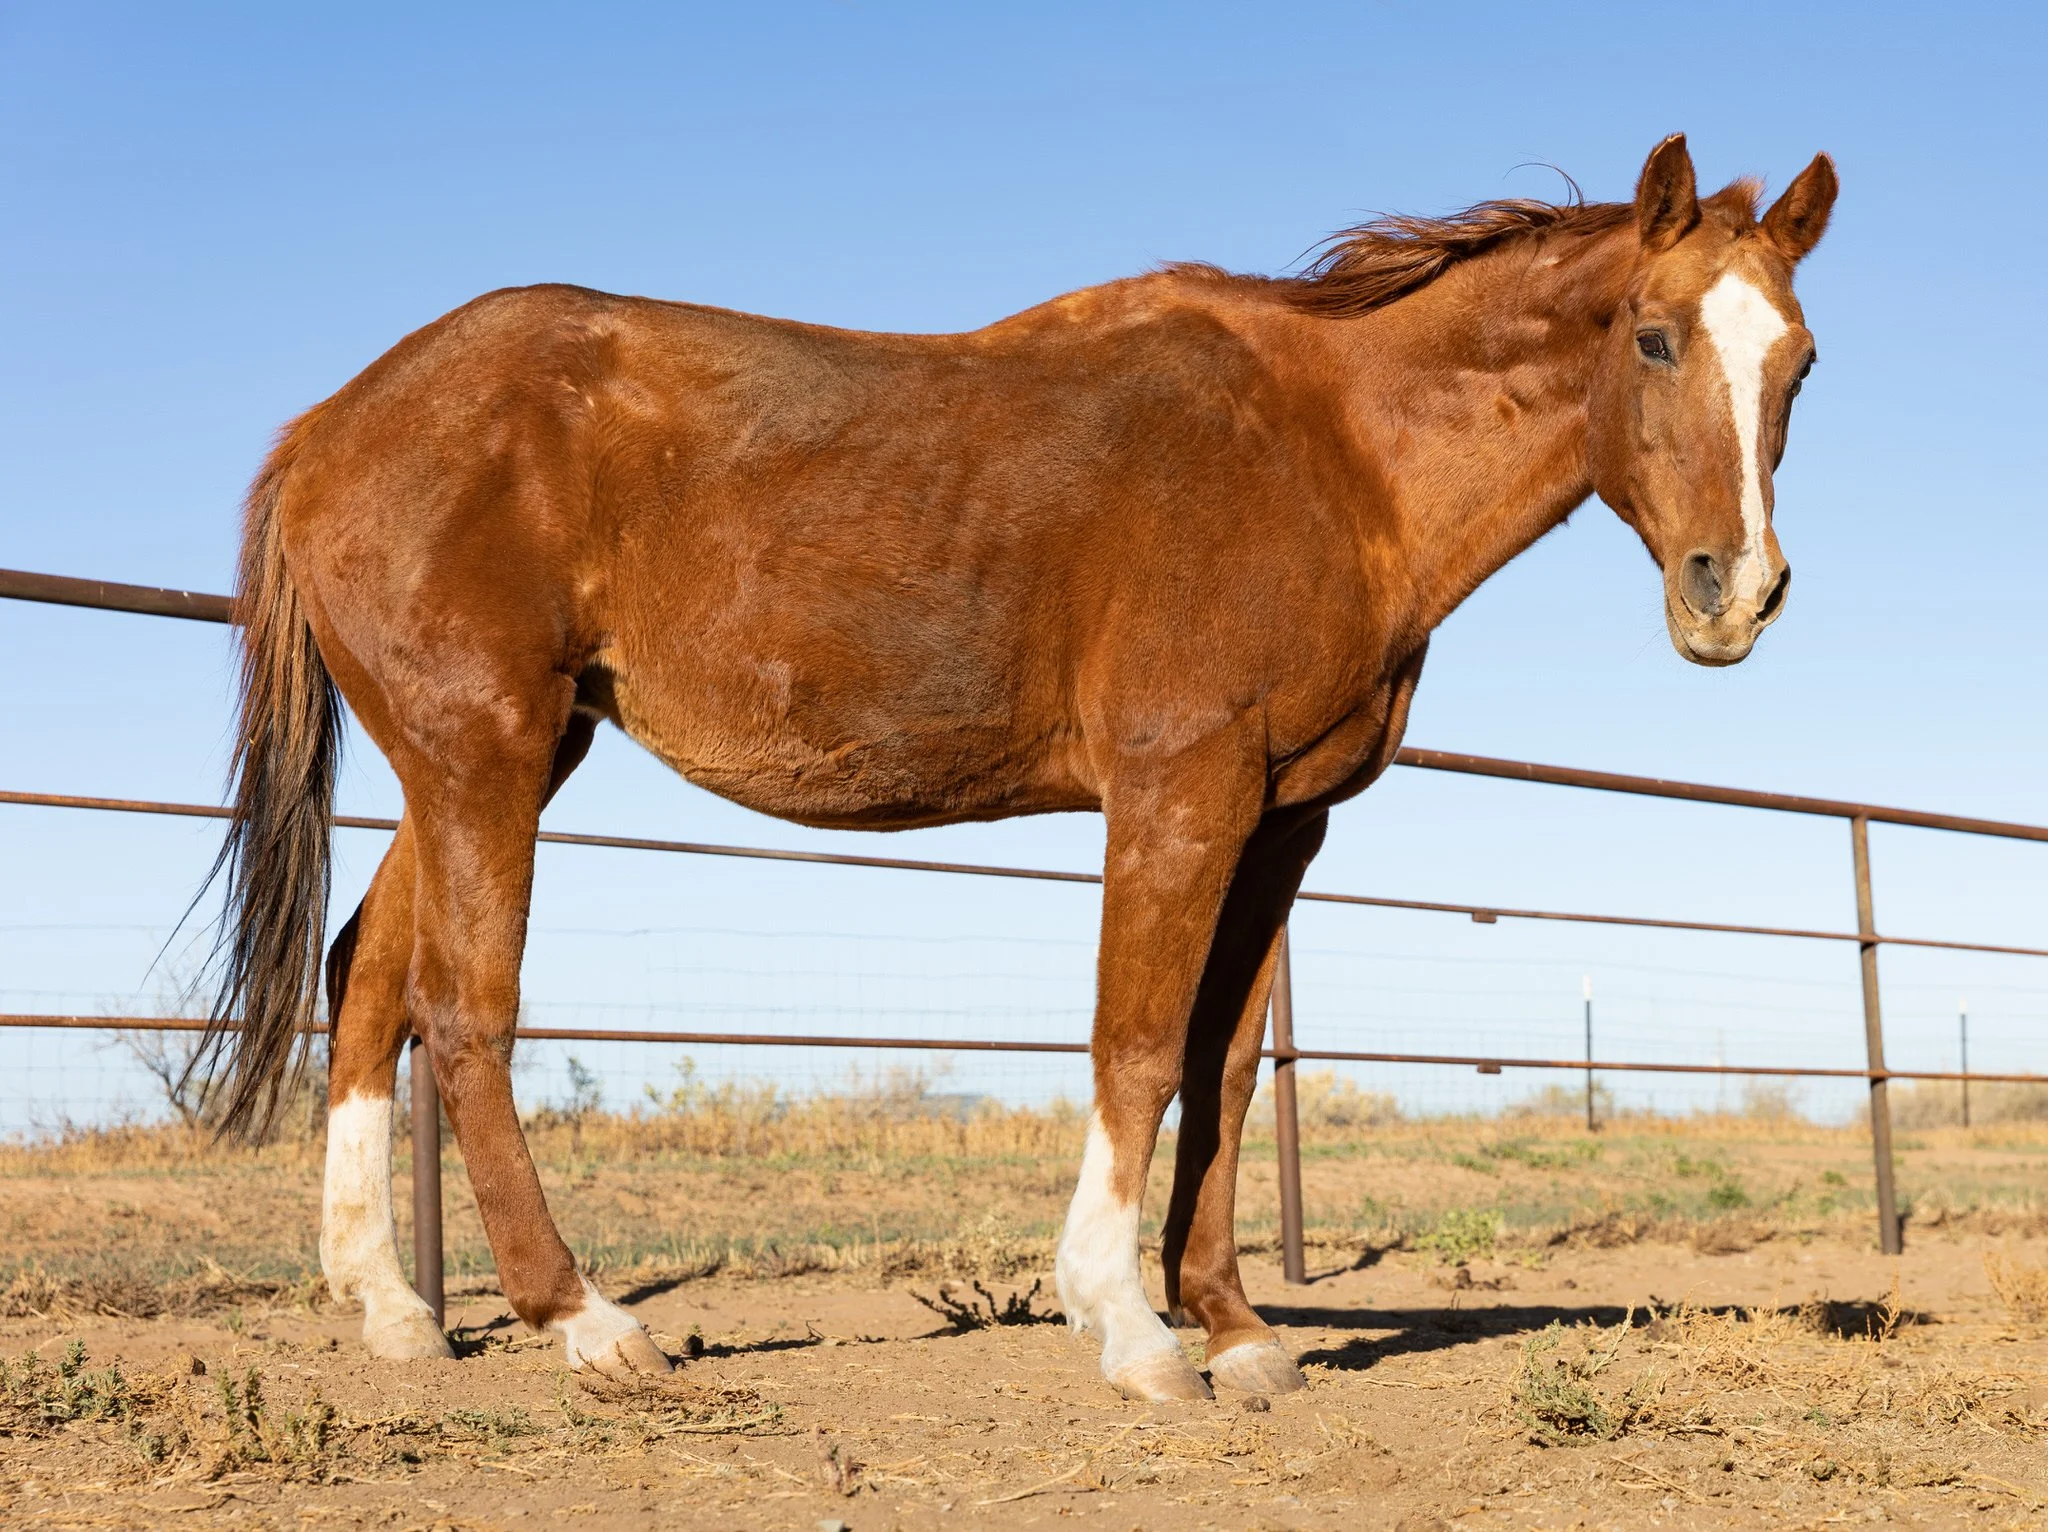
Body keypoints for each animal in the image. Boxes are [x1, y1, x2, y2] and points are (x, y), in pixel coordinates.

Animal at [196, 134, 1835, 1402]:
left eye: (1800, 363)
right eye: (1651, 335)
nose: (1735, 593)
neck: (1329, 453)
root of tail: (328, 427)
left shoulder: (1283, 823)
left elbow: (1225, 1064)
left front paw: (1234, 1327)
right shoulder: (1178, 791)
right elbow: (1139, 1043)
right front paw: (1129, 1327)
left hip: (493, 757)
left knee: (365, 975)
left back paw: (395, 1310)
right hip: (483, 750)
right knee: (463, 1008)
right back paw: (585, 1322)